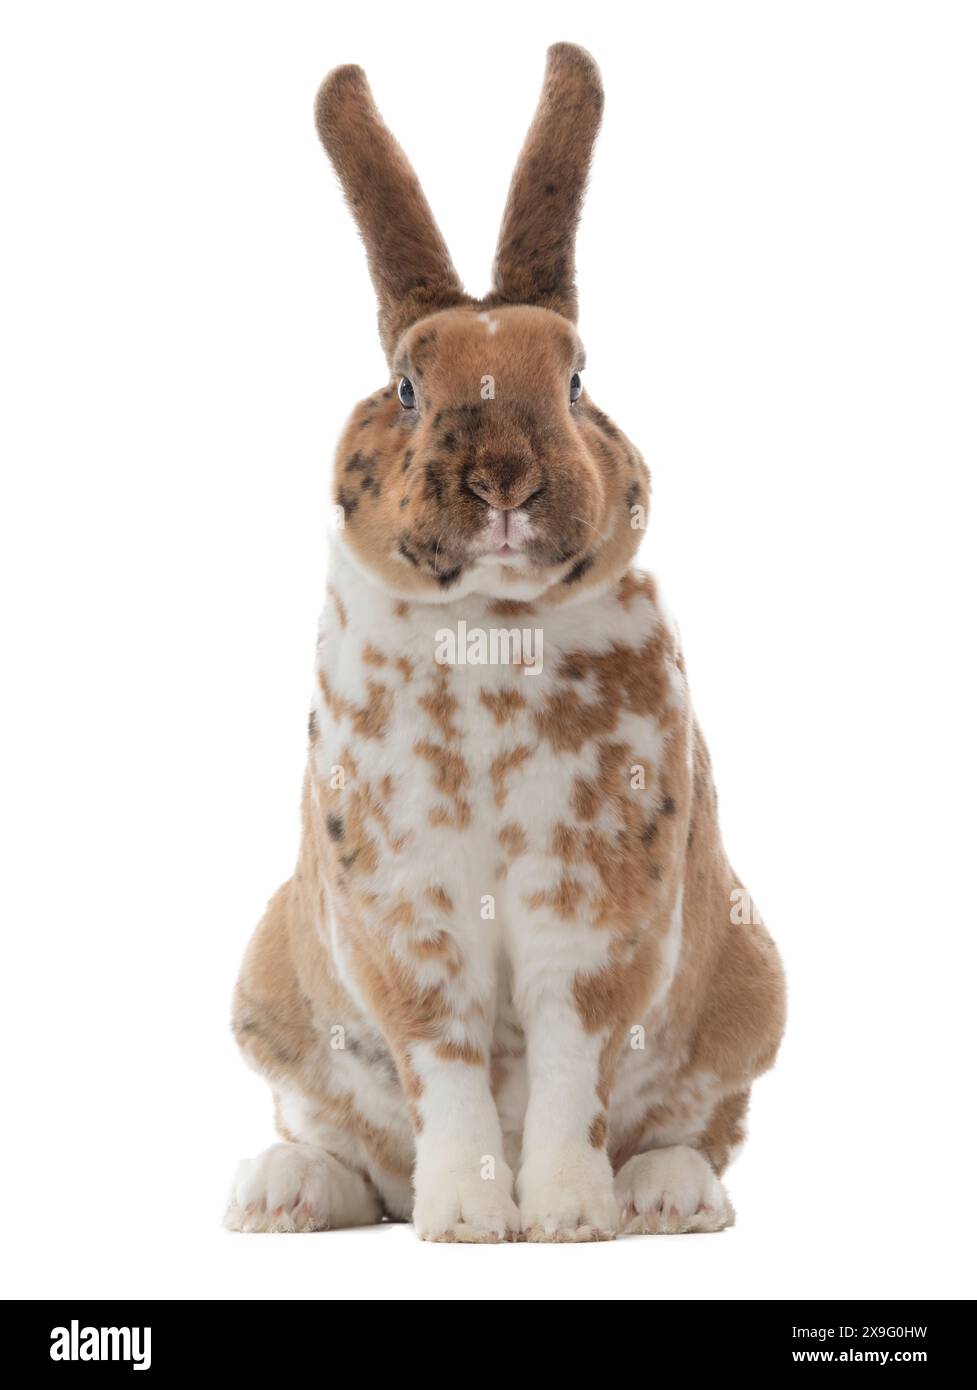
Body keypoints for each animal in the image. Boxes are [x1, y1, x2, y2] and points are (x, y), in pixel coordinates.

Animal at [224, 42, 786, 1243]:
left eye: (574, 379)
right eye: (406, 386)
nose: (503, 480)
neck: (490, 627)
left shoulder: (597, 919)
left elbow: (574, 1071)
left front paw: (567, 1218)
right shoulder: (405, 924)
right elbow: (444, 1072)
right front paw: (471, 1222)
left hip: (748, 992)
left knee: (691, 1124)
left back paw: (661, 1194)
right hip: (272, 991)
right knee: (354, 1151)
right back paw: (281, 1191)